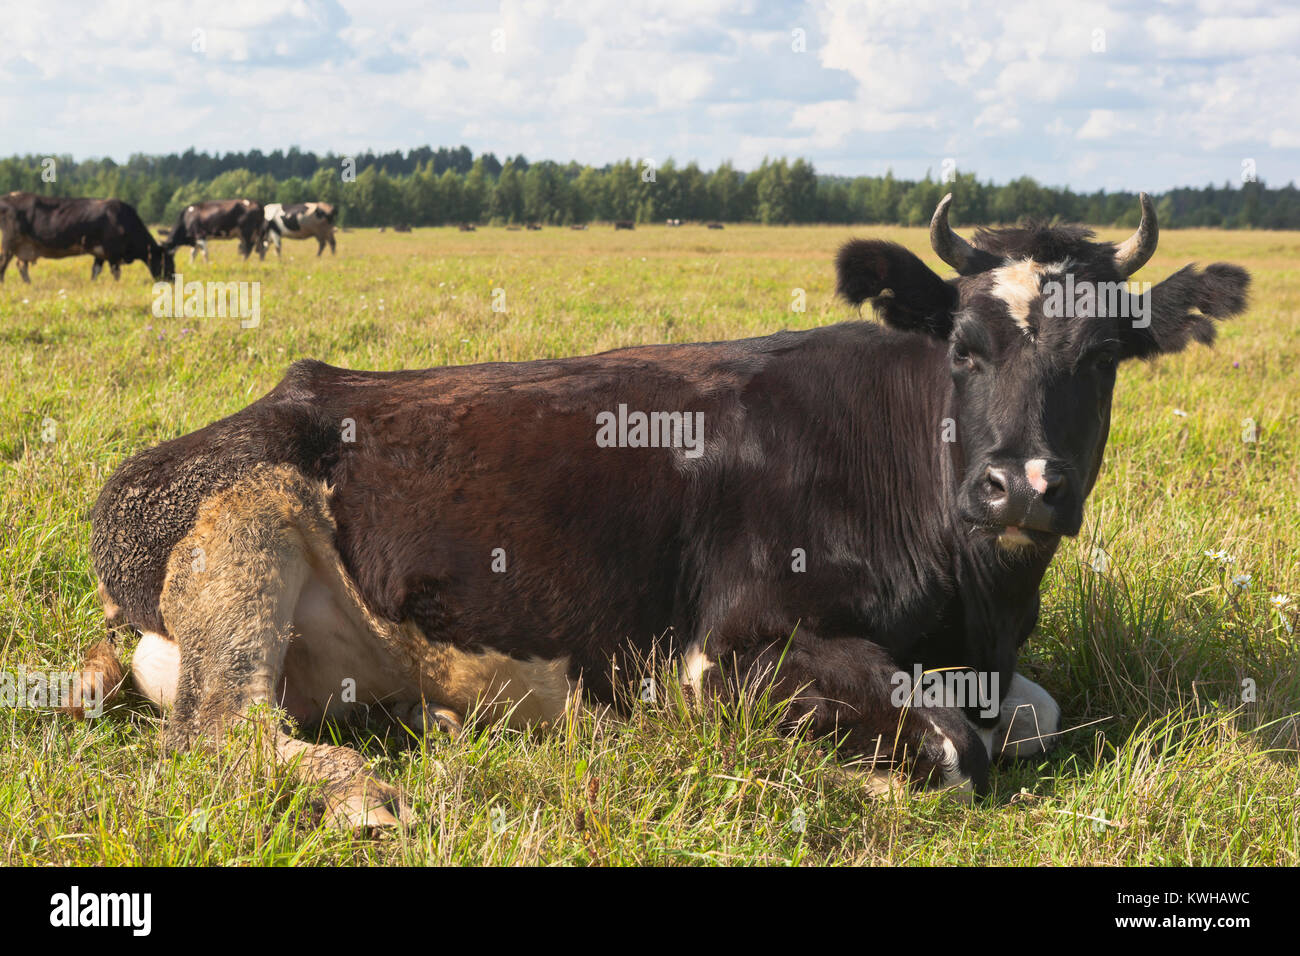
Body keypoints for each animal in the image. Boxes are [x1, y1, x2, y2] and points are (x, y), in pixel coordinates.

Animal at [0, 191, 174, 283]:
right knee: (3, 264)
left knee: (21, 266)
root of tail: (8, 196)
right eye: (167, 262)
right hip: (8, 243)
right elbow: (116, 273)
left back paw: (28, 284)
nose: (173, 280)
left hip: (23, 246)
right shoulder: (113, 252)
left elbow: (95, 271)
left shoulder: (100, 254)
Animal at [74, 194, 1249, 829]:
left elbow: (1028, 717)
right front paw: (842, 780)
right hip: (245, 526)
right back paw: (366, 794)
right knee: (223, 732)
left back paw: (432, 729)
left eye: (1104, 358)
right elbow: (958, 748)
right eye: (964, 346)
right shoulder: (724, 652)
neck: (976, 607)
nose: (1021, 485)